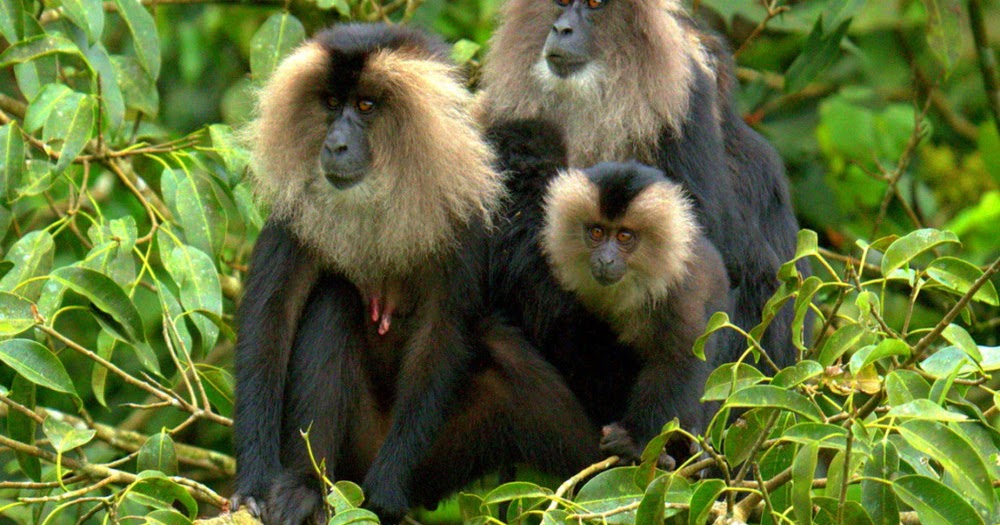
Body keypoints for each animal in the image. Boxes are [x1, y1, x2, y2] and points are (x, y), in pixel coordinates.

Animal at [230, 24, 599, 525]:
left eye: (366, 106)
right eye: (332, 103)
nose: (336, 144)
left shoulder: (463, 212)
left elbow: (440, 335)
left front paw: (386, 489)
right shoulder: (293, 212)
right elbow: (270, 323)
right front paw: (252, 482)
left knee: (504, 353)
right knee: (333, 301)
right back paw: (306, 485)